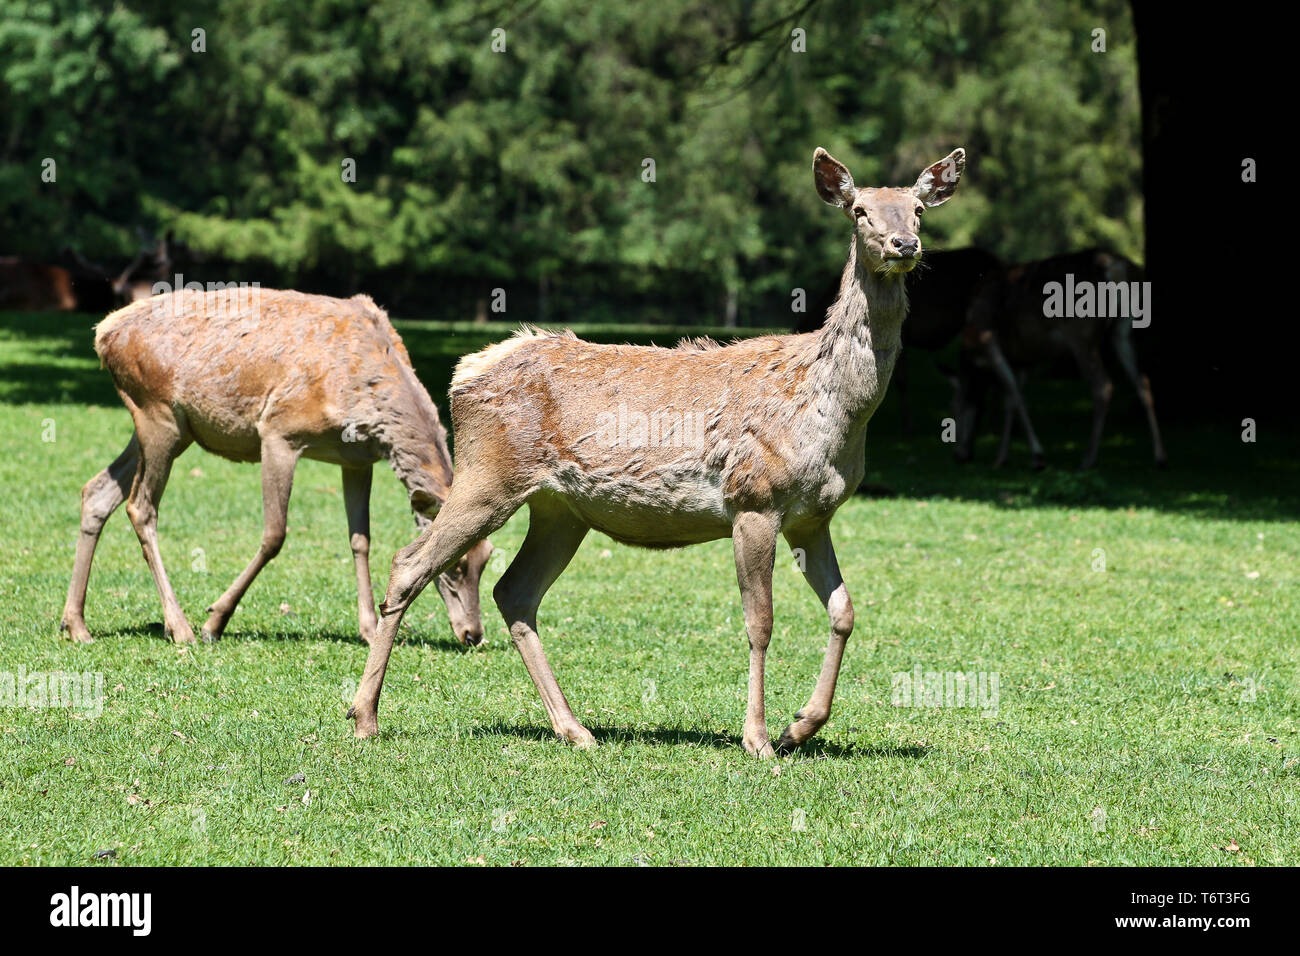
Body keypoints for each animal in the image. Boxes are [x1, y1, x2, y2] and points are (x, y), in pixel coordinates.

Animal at [61, 287, 494, 647]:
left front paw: (369, 628)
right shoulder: (279, 432)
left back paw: (76, 624)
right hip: (158, 414)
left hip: (167, 428)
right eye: (453, 567)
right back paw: (179, 627)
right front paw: (215, 620)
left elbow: (360, 539)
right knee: (140, 506)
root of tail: (103, 334)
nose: (473, 635)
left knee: (96, 491)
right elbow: (274, 534)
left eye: (486, 559)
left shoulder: (356, 458)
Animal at [346, 146, 966, 756]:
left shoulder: (814, 517)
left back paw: (575, 729)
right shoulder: (754, 499)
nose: (903, 244)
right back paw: (365, 717)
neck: (831, 417)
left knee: (514, 591)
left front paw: (801, 726)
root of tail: (463, 374)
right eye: (860, 210)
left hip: (559, 509)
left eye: (917, 210)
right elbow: (760, 622)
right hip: (488, 474)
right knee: (411, 563)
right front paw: (758, 738)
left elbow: (844, 612)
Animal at [952, 249, 1166, 470]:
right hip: (1123, 330)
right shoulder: (1024, 358)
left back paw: (1088, 458)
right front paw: (1002, 457)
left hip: (1081, 334)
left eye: (955, 407)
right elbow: (1010, 400)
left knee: (1103, 385)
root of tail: (1117, 269)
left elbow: (1015, 394)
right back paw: (1160, 457)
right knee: (1142, 382)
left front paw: (1037, 456)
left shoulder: (988, 339)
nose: (958, 455)